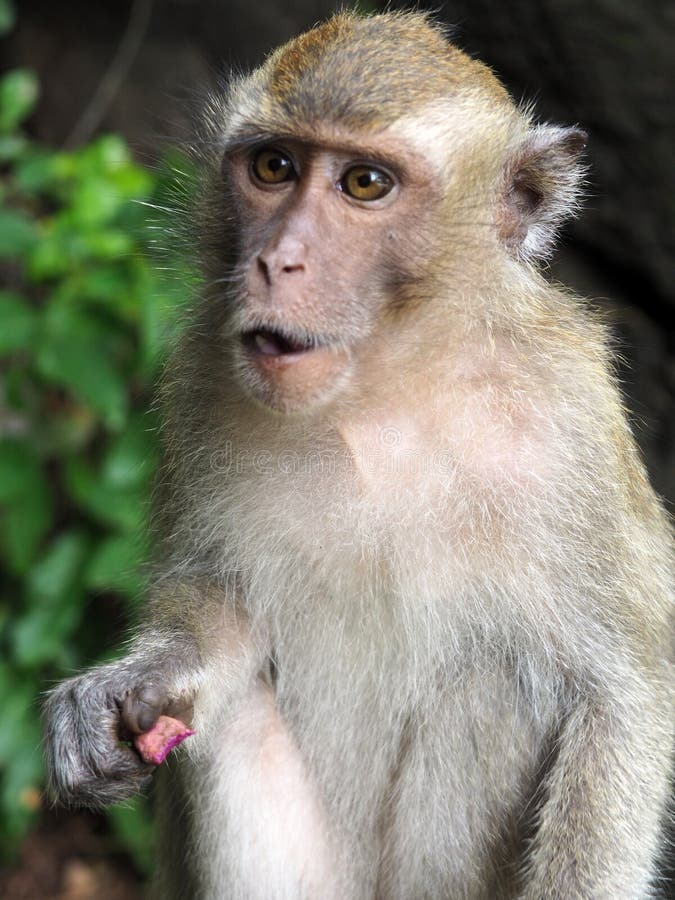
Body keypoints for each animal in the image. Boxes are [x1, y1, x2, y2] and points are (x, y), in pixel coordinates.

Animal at [43, 10, 673, 900]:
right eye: (273, 167)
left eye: (365, 184)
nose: (277, 260)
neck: (384, 389)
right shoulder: (200, 376)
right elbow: (222, 612)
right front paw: (125, 686)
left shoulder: (571, 424)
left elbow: (621, 702)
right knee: (236, 715)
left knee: (494, 682)